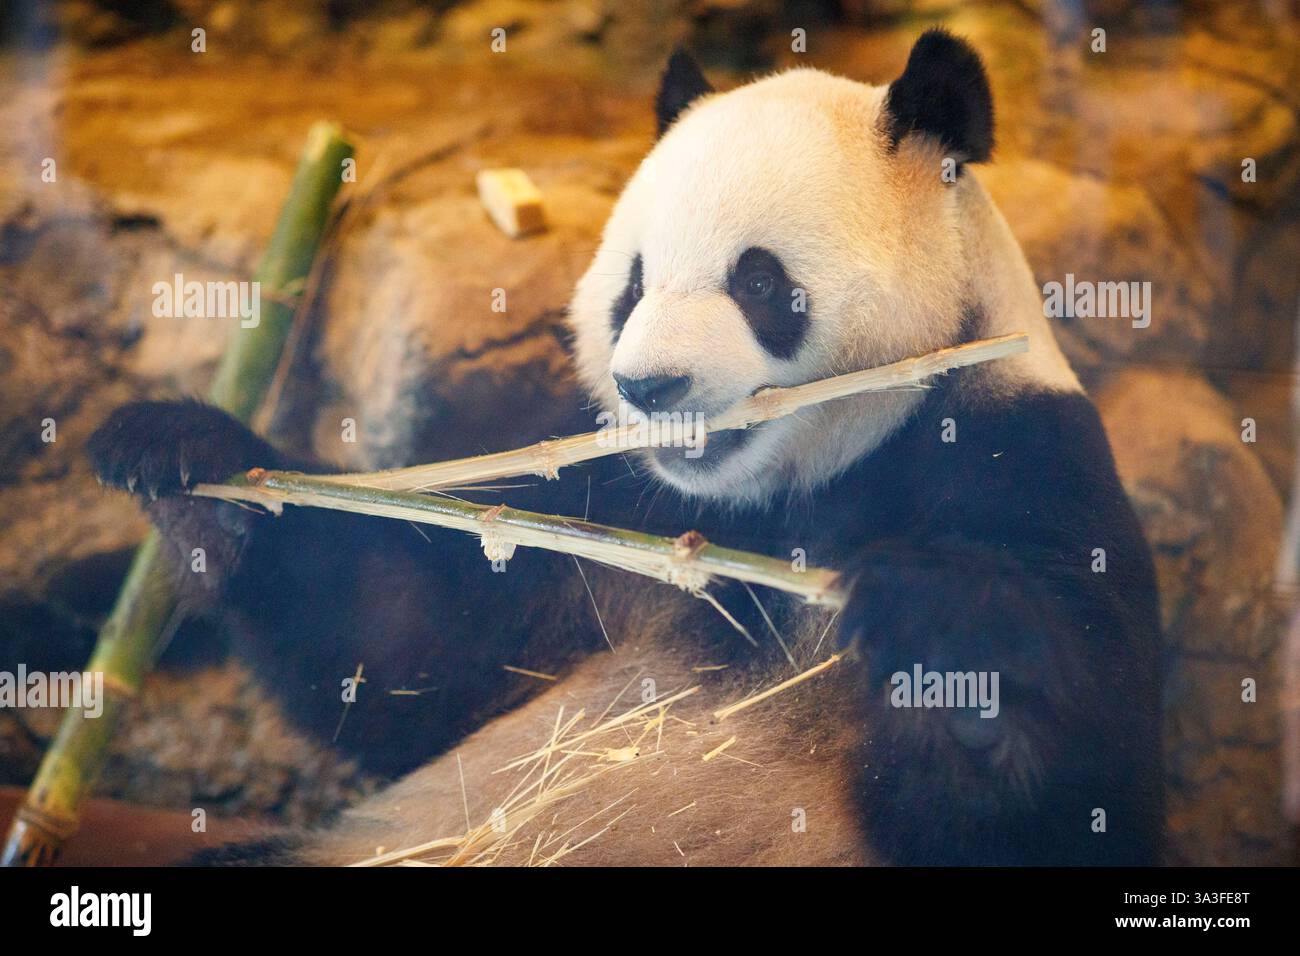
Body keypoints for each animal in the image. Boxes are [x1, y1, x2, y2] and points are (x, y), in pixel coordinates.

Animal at [86, 29, 1163, 866]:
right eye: (632, 284)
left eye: (760, 282)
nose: (650, 387)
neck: (790, 492)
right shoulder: (613, 520)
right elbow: (410, 645)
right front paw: (186, 463)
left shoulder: (1016, 467)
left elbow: (1069, 791)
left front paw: (934, 619)